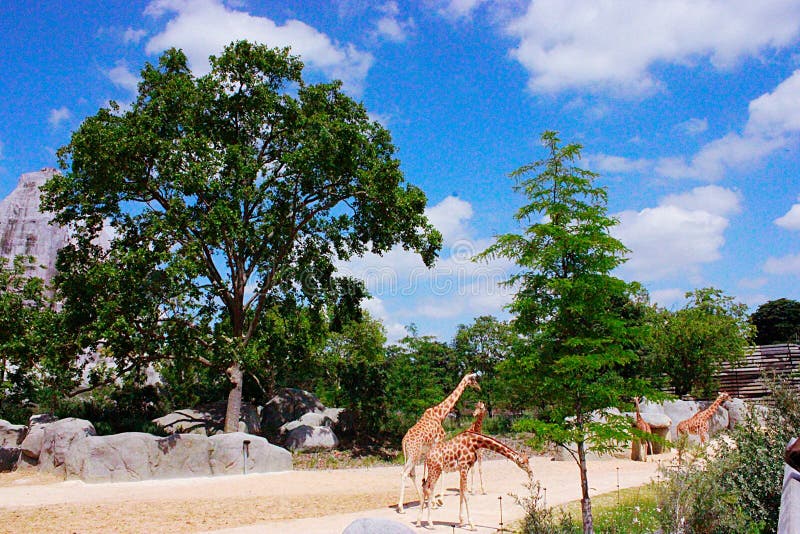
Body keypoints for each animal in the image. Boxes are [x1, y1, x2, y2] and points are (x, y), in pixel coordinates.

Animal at [396, 372, 480, 514]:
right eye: (474, 379)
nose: (479, 387)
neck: (441, 414)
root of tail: (404, 441)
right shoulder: (439, 442)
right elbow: (441, 472)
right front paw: (438, 500)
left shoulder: (429, 449)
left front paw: (432, 500)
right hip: (414, 454)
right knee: (404, 473)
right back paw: (401, 508)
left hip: (412, 454)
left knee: (412, 474)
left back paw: (421, 501)